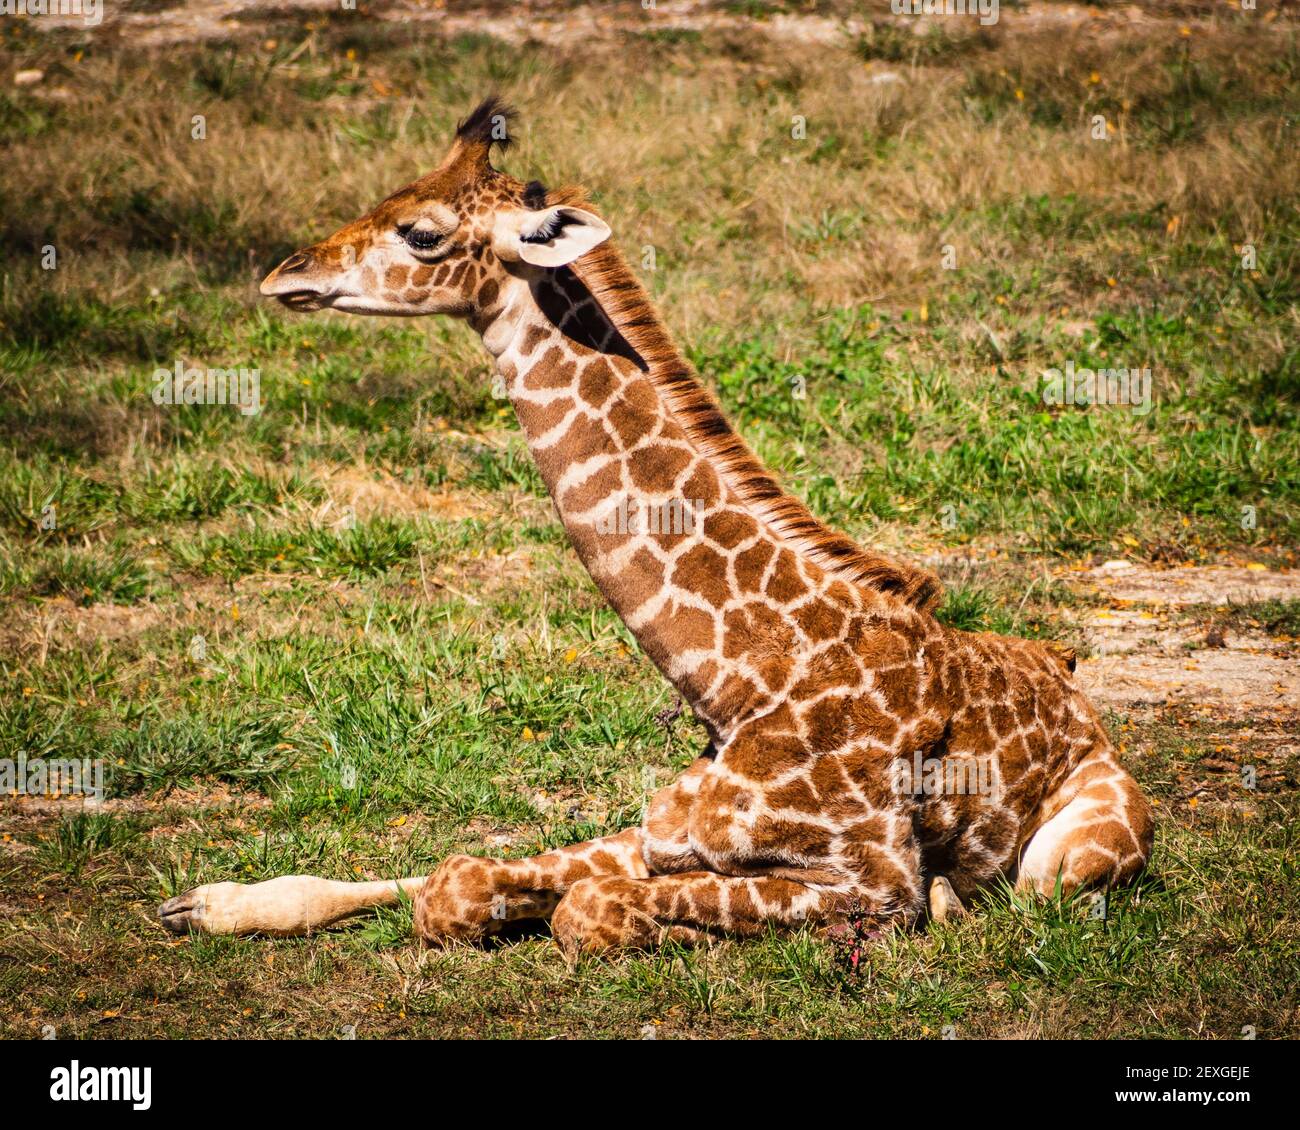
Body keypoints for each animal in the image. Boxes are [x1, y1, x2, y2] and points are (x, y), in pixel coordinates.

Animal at [159, 98, 1154, 956]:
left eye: (422, 232)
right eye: (386, 196)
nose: (285, 275)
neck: (741, 674)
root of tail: (1072, 674)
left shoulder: (871, 878)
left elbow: (589, 912)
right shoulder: (660, 829)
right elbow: (456, 884)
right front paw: (209, 903)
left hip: (1071, 855)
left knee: (1039, 895)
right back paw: (199, 904)